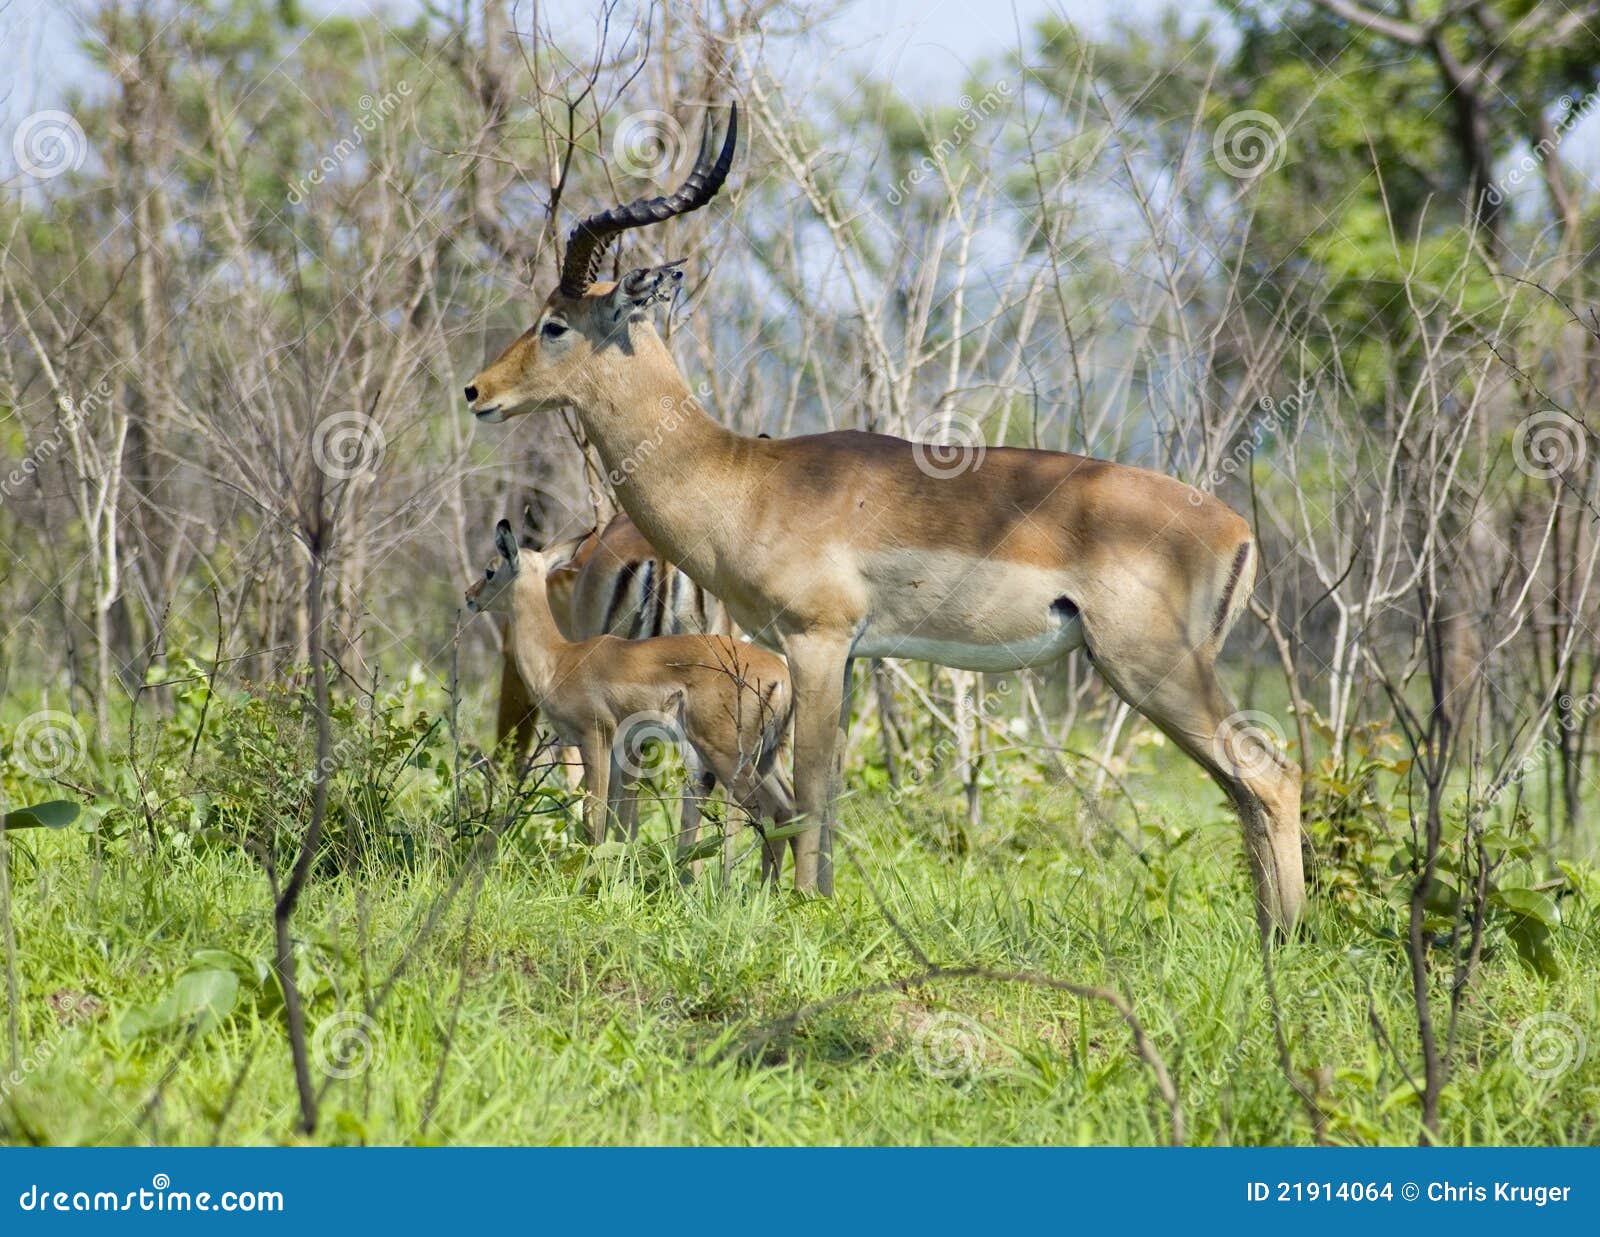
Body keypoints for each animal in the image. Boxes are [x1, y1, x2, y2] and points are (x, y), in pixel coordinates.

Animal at [467, 519, 794, 877]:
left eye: (490, 570)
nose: (470, 596)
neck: (559, 659)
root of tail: (781, 675)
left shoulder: (595, 736)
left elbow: (593, 811)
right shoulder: (619, 748)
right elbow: (614, 810)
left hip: (727, 755)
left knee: (760, 811)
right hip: (766, 757)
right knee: (788, 809)